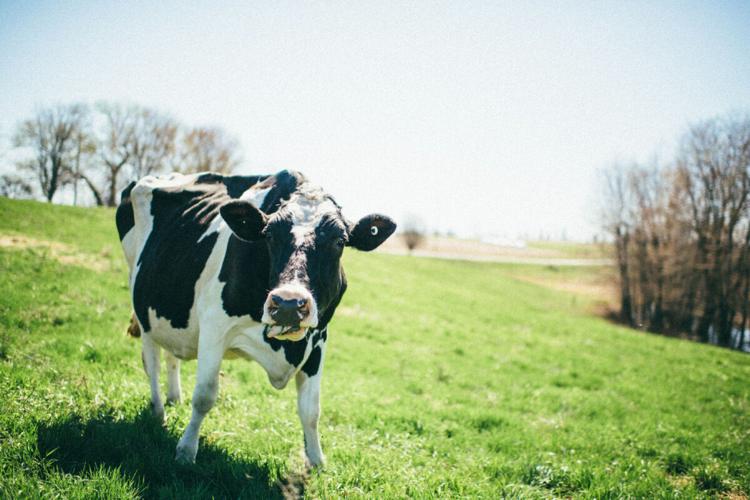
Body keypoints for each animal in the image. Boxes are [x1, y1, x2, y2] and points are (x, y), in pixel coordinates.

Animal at [115, 170, 396, 466]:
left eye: (339, 242)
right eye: (269, 236)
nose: (288, 303)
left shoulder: (318, 339)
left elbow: (311, 410)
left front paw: (316, 462)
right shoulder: (214, 327)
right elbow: (204, 395)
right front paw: (186, 451)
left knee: (171, 354)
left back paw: (173, 397)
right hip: (142, 306)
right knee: (152, 361)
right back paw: (158, 412)